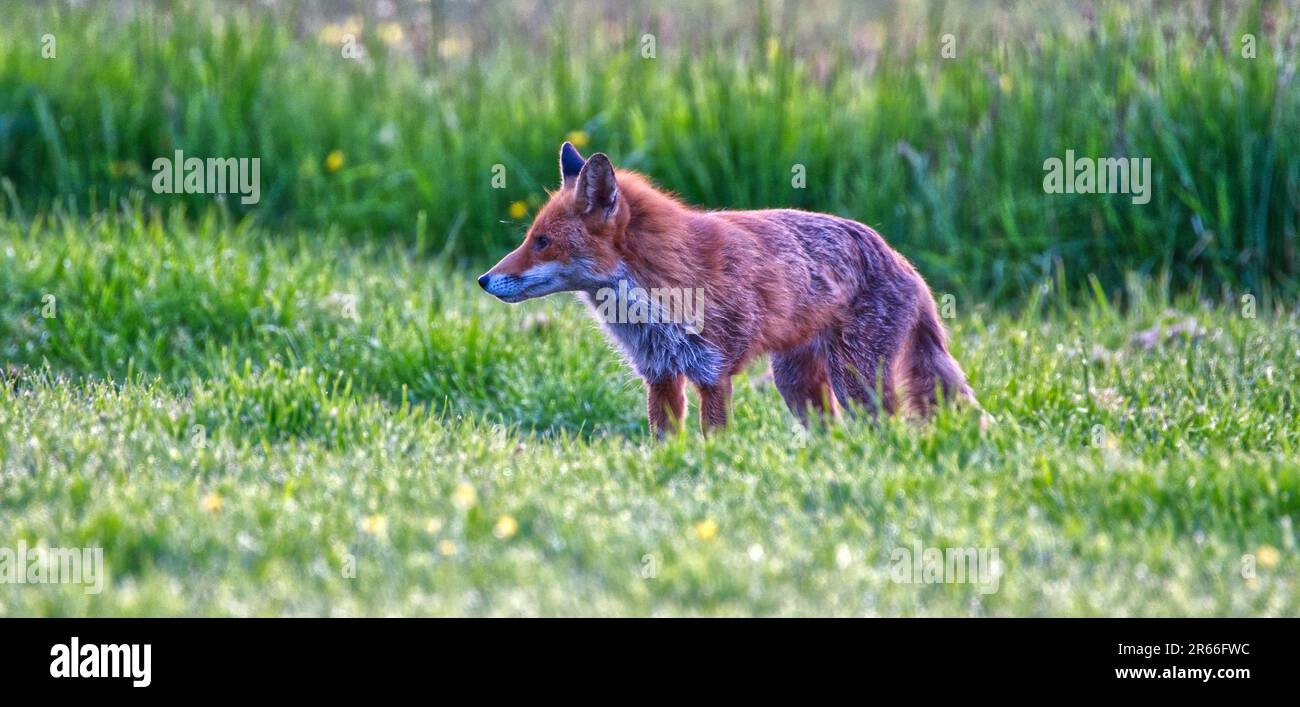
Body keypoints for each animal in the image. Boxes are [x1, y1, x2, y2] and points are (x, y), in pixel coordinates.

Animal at [479, 142, 980, 437]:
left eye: (542, 242)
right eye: (530, 238)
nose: (484, 280)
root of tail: (903, 262)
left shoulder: (712, 370)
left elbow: (713, 438)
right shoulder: (660, 372)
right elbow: (665, 440)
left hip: (853, 381)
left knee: (887, 431)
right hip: (797, 384)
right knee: (834, 434)